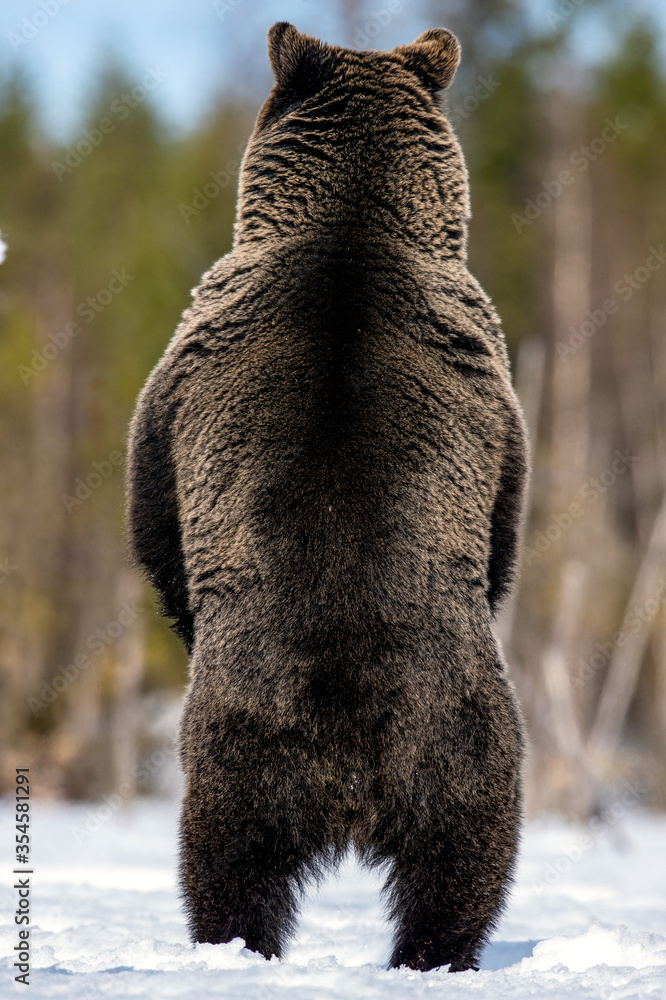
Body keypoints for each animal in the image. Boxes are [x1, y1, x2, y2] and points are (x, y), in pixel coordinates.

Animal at [126, 22, 529, 974]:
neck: (354, 226)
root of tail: (350, 773)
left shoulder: (185, 365)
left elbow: (154, 520)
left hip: (333, 724)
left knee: (229, 856)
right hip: (432, 734)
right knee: (449, 858)